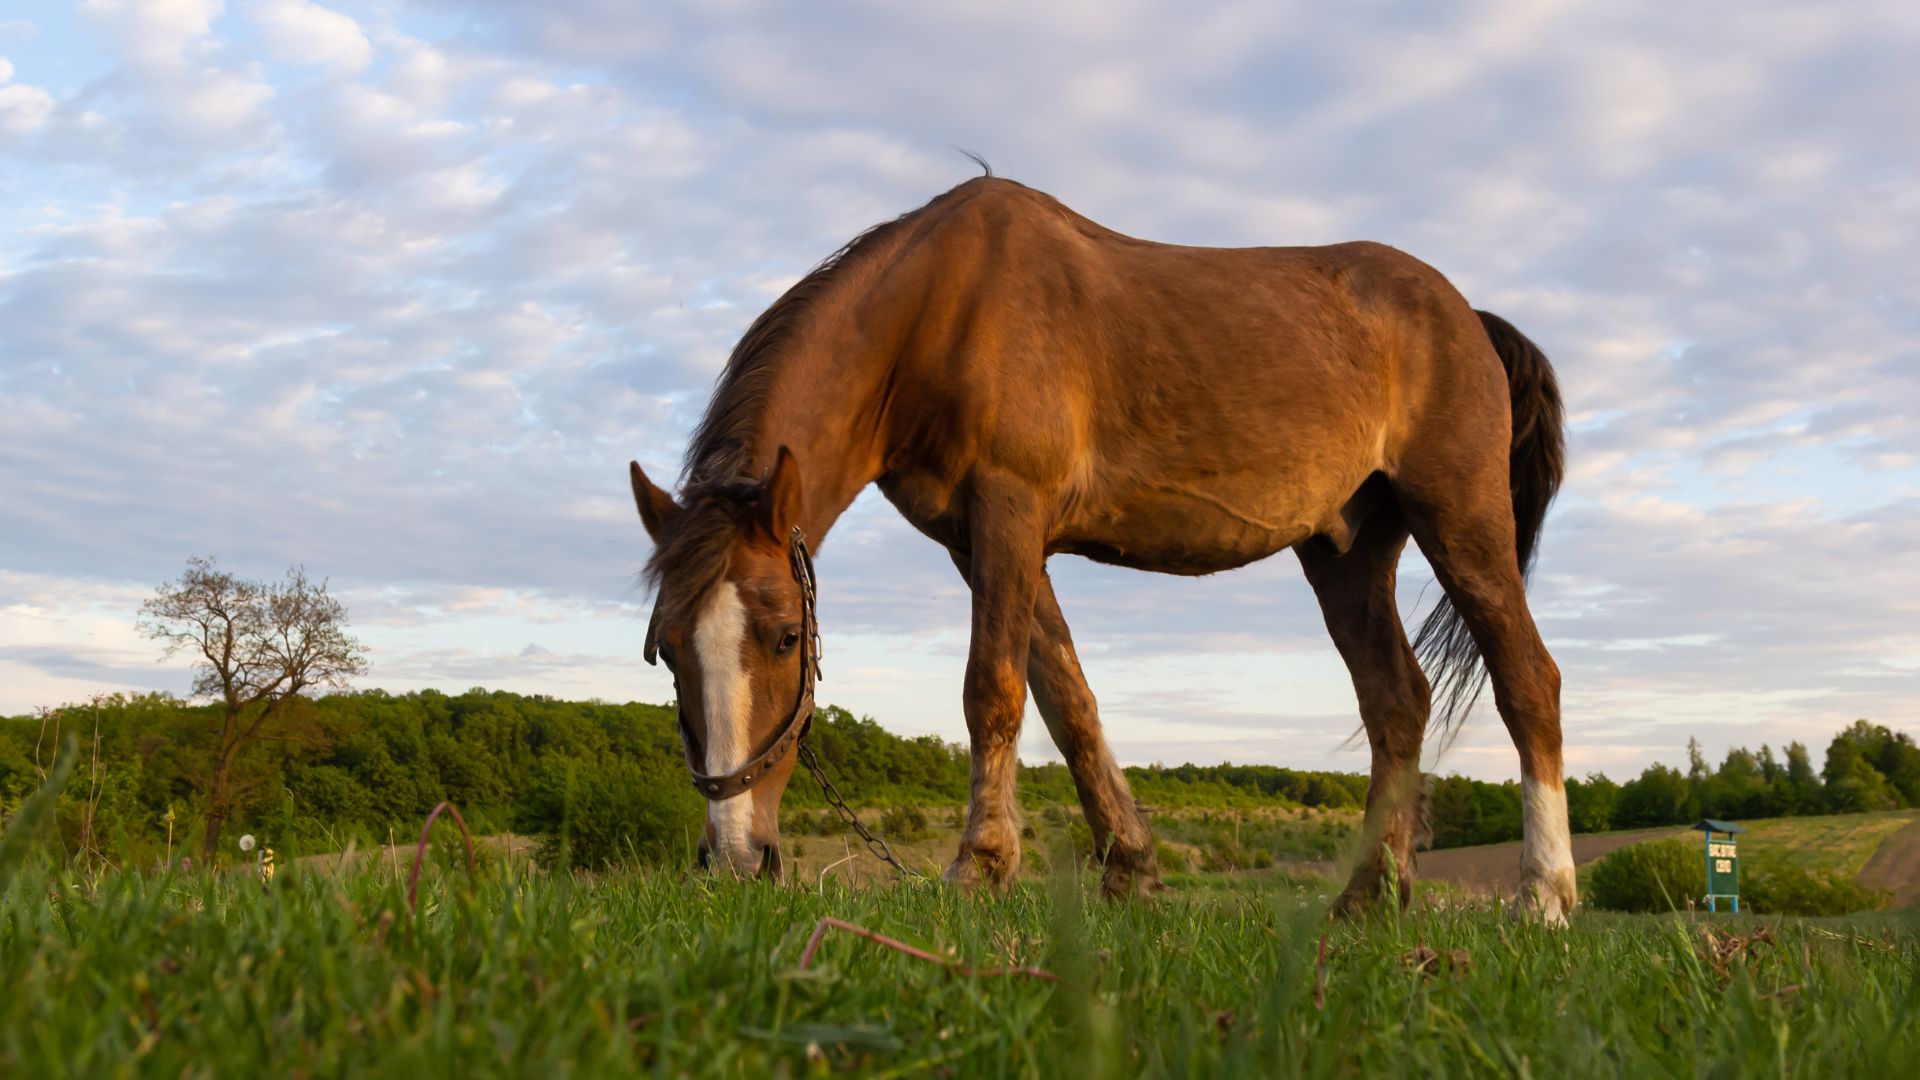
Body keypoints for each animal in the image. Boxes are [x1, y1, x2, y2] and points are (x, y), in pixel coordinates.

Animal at [629, 174, 1573, 919]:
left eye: (786, 637)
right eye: (667, 649)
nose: (735, 856)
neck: (939, 311)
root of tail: (1468, 317)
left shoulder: (1008, 509)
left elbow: (993, 689)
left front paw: (979, 869)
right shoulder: (986, 541)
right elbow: (1066, 698)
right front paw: (1131, 872)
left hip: (1462, 522)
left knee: (1529, 681)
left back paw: (1544, 896)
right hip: (1346, 553)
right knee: (1396, 703)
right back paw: (1371, 896)